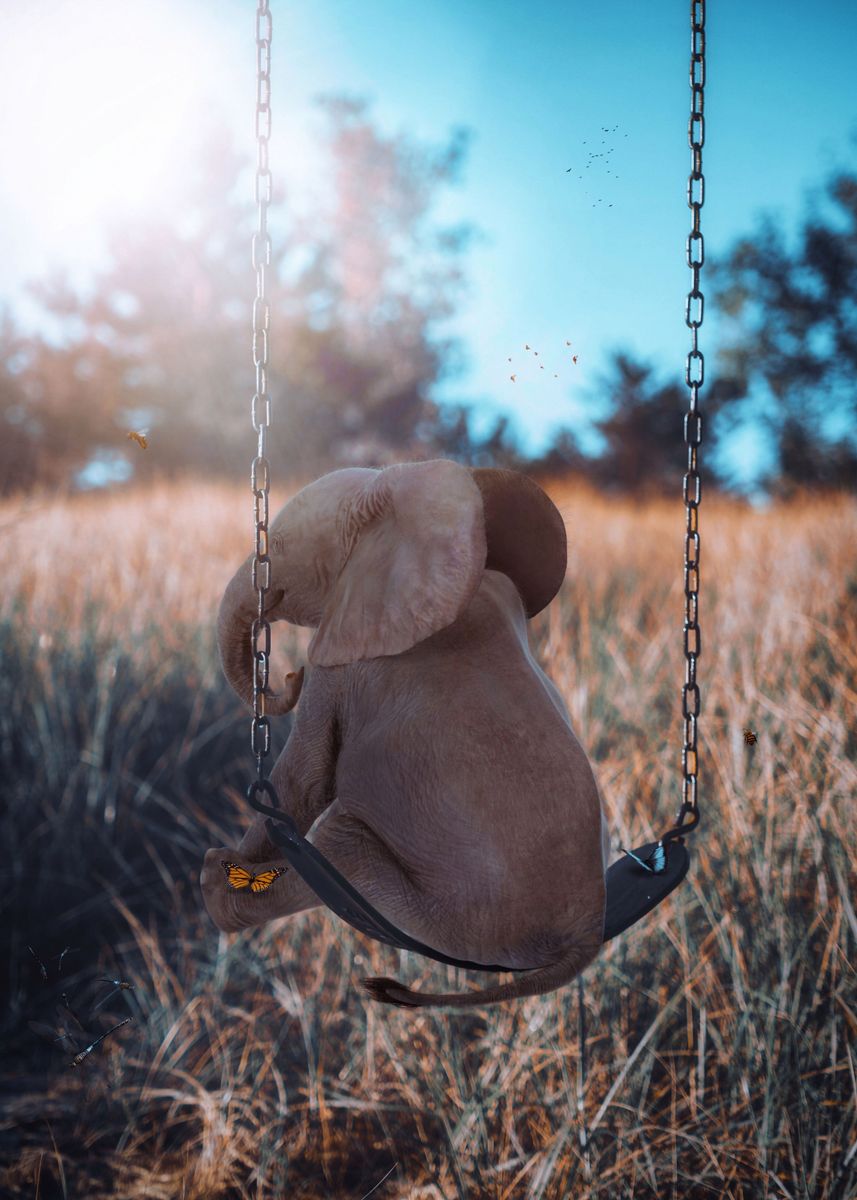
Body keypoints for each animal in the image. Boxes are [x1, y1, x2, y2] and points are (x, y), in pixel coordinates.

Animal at [200, 458, 610, 1009]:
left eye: (279, 546)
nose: (287, 675)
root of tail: (585, 939)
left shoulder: (345, 658)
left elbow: (305, 779)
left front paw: (231, 861)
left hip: (458, 918)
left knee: (341, 844)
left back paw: (215, 887)